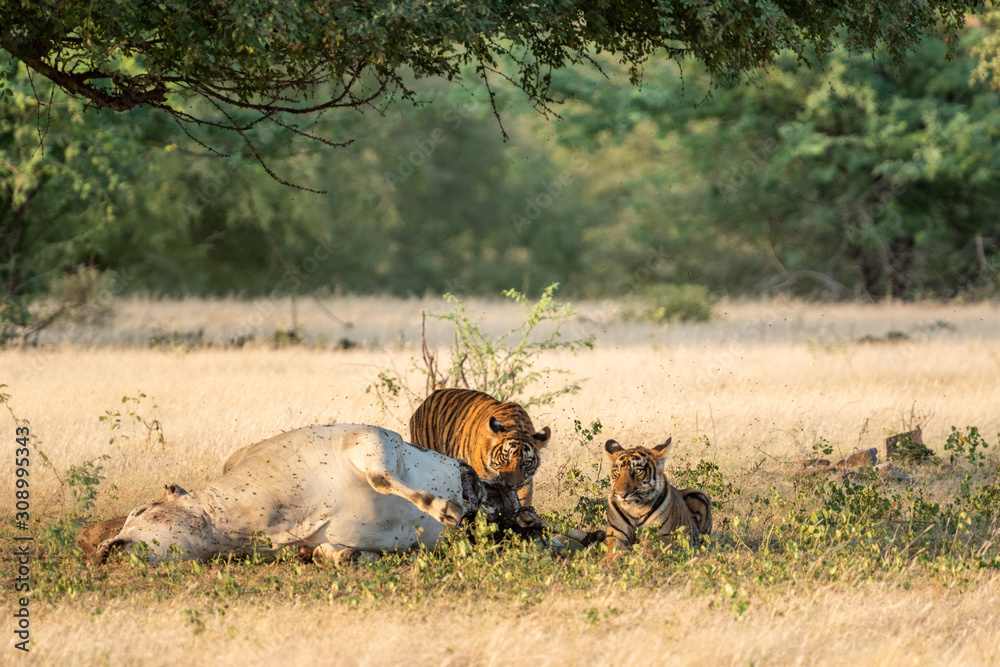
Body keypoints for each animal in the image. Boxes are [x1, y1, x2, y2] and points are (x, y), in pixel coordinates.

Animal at [92, 424, 597, 567]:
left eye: (141, 509)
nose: (103, 546)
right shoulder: (321, 540)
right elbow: (327, 554)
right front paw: (359, 557)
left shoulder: (371, 439)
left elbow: (383, 478)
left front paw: (443, 506)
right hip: (513, 529)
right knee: (535, 531)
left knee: (535, 525)